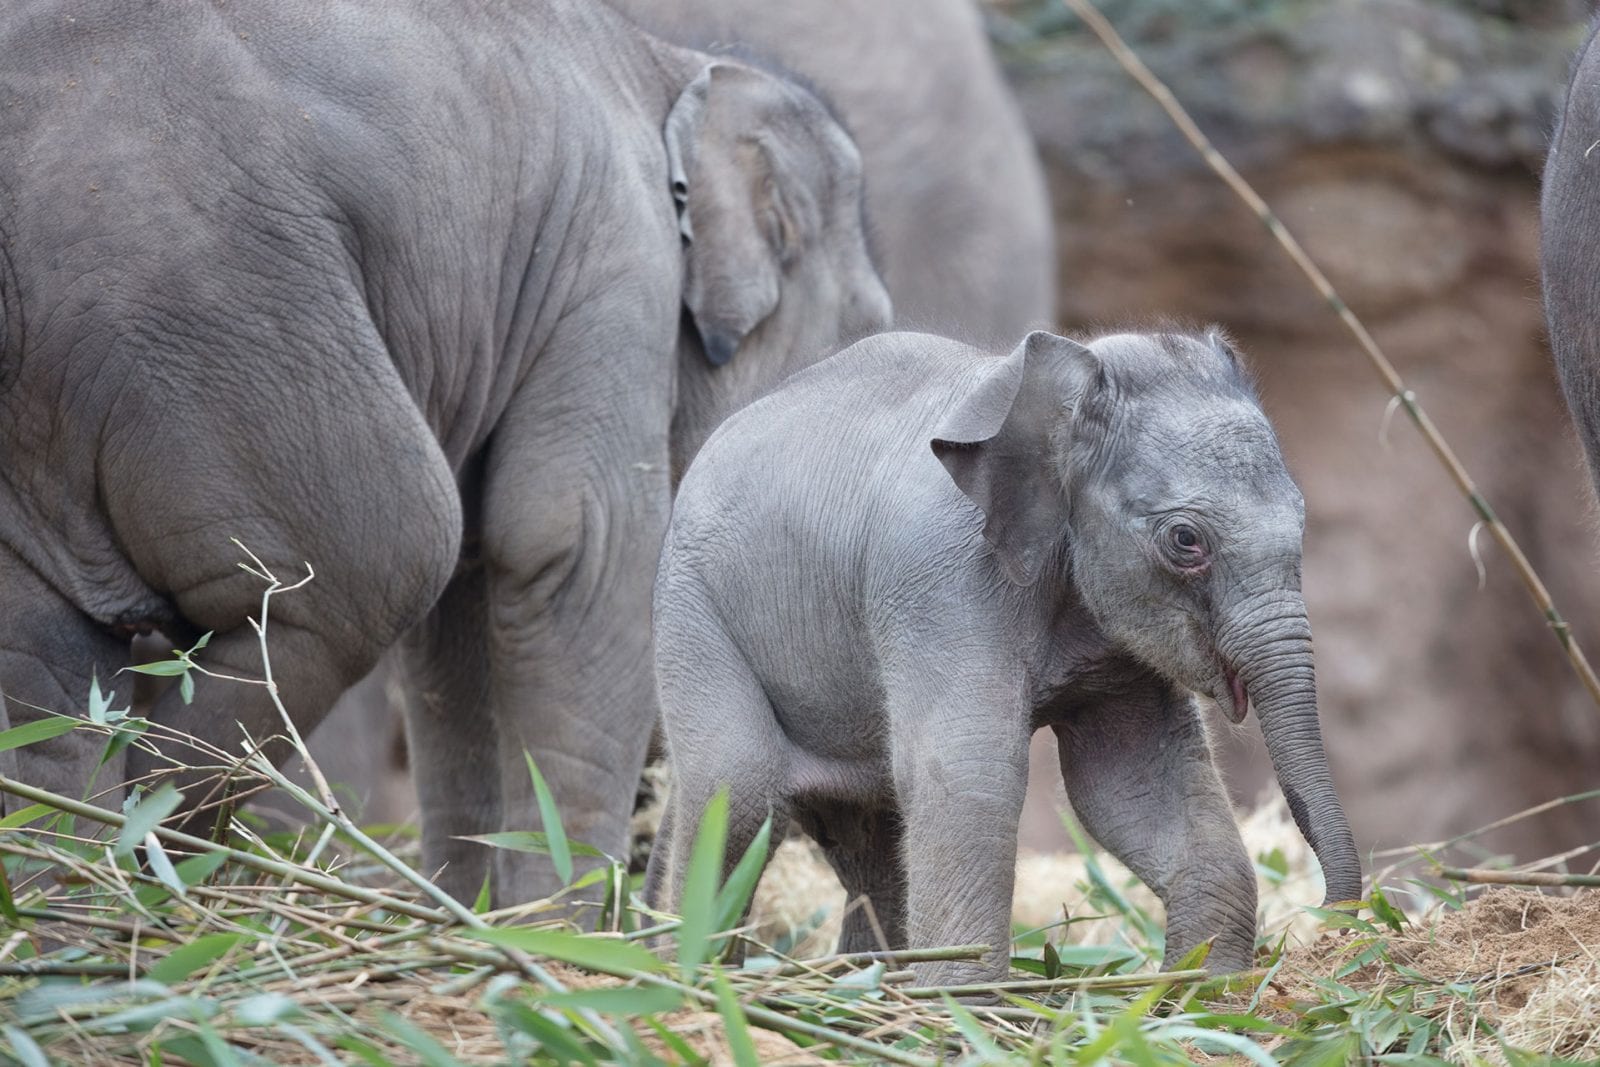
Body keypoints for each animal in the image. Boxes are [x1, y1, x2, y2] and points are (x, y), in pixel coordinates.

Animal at [0, 0, 890, 907]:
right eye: (863, 329)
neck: (666, 65)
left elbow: (461, 620)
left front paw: (477, 909)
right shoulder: (617, 260)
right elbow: (574, 546)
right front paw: (559, 923)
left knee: (41, 664)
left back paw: (77, 889)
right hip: (201, 304)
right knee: (373, 560)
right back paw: (151, 856)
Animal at [644, 328, 1363, 985]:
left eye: (1302, 518)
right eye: (1185, 540)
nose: (1331, 923)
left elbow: (1132, 782)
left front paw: (1201, 995)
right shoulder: (939, 577)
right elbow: (969, 771)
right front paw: (967, 1007)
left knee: (867, 829)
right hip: (690, 608)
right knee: (738, 786)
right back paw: (694, 977)